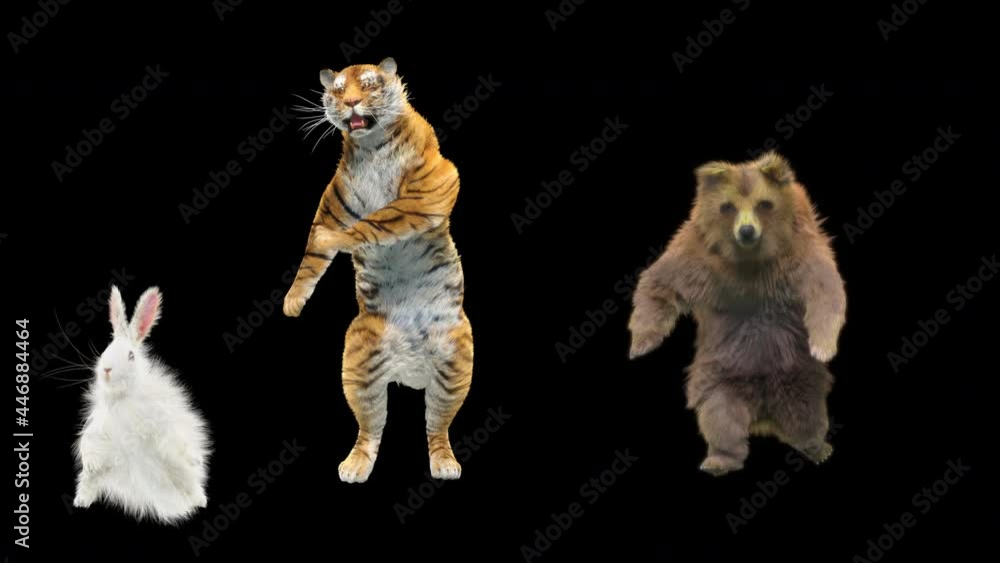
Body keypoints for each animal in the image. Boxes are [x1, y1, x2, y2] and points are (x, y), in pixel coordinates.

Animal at [73, 285, 211, 524]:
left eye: (131, 355)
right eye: (105, 350)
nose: (106, 369)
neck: (121, 398)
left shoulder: (158, 419)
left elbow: (176, 440)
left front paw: (196, 459)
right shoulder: (99, 426)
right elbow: (87, 442)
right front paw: (89, 463)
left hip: (180, 472)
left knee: (190, 484)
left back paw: (200, 500)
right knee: (89, 482)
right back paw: (81, 501)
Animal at [282, 57, 473, 483]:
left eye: (369, 84)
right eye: (338, 89)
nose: (351, 102)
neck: (371, 148)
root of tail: (410, 371)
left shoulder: (425, 193)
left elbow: (380, 220)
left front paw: (337, 241)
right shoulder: (332, 206)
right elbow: (310, 261)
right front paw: (292, 302)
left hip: (455, 360)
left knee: (437, 425)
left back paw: (445, 465)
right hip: (359, 361)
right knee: (370, 427)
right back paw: (354, 466)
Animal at [628, 151, 846, 476]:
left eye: (764, 203)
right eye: (727, 206)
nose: (746, 231)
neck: (752, 259)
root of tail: (763, 414)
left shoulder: (800, 252)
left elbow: (825, 289)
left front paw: (822, 345)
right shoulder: (697, 253)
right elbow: (661, 282)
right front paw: (640, 345)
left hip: (796, 371)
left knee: (805, 408)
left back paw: (816, 446)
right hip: (722, 374)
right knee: (721, 415)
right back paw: (720, 459)